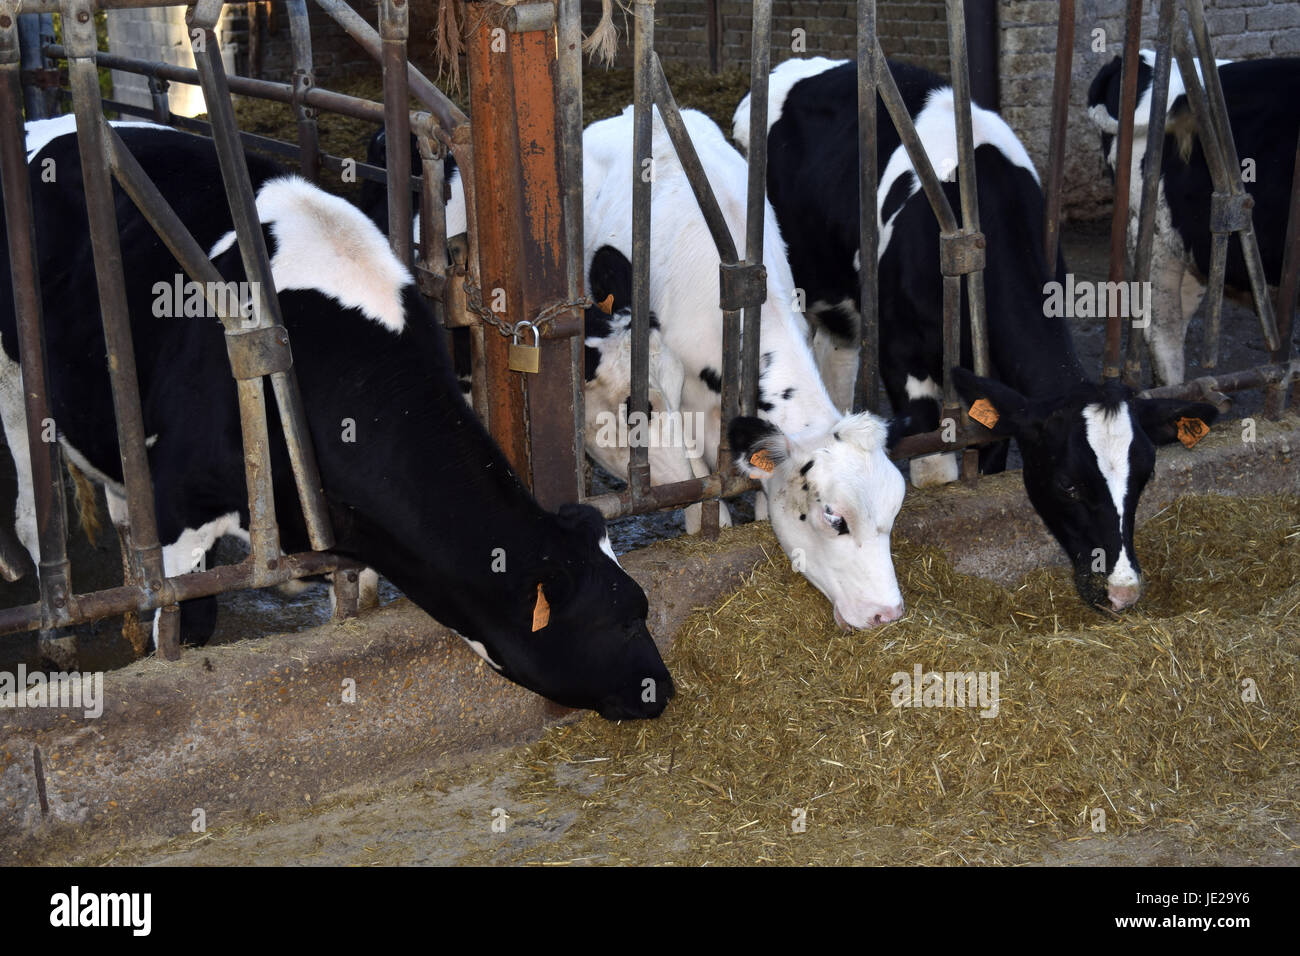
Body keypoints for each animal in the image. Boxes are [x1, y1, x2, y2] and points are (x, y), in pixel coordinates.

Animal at [0, 117, 673, 720]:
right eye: (621, 619)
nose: (662, 688)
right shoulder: (180, 504)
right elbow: (189, 622)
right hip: (16, 384)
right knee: (35, 511)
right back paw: (54, 634)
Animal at [735, 57, 1219, 612]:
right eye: (1068, 485)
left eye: (1144, 477)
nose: (1121, 592)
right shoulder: (905, 362)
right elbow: (935, 472)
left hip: (842, 308)